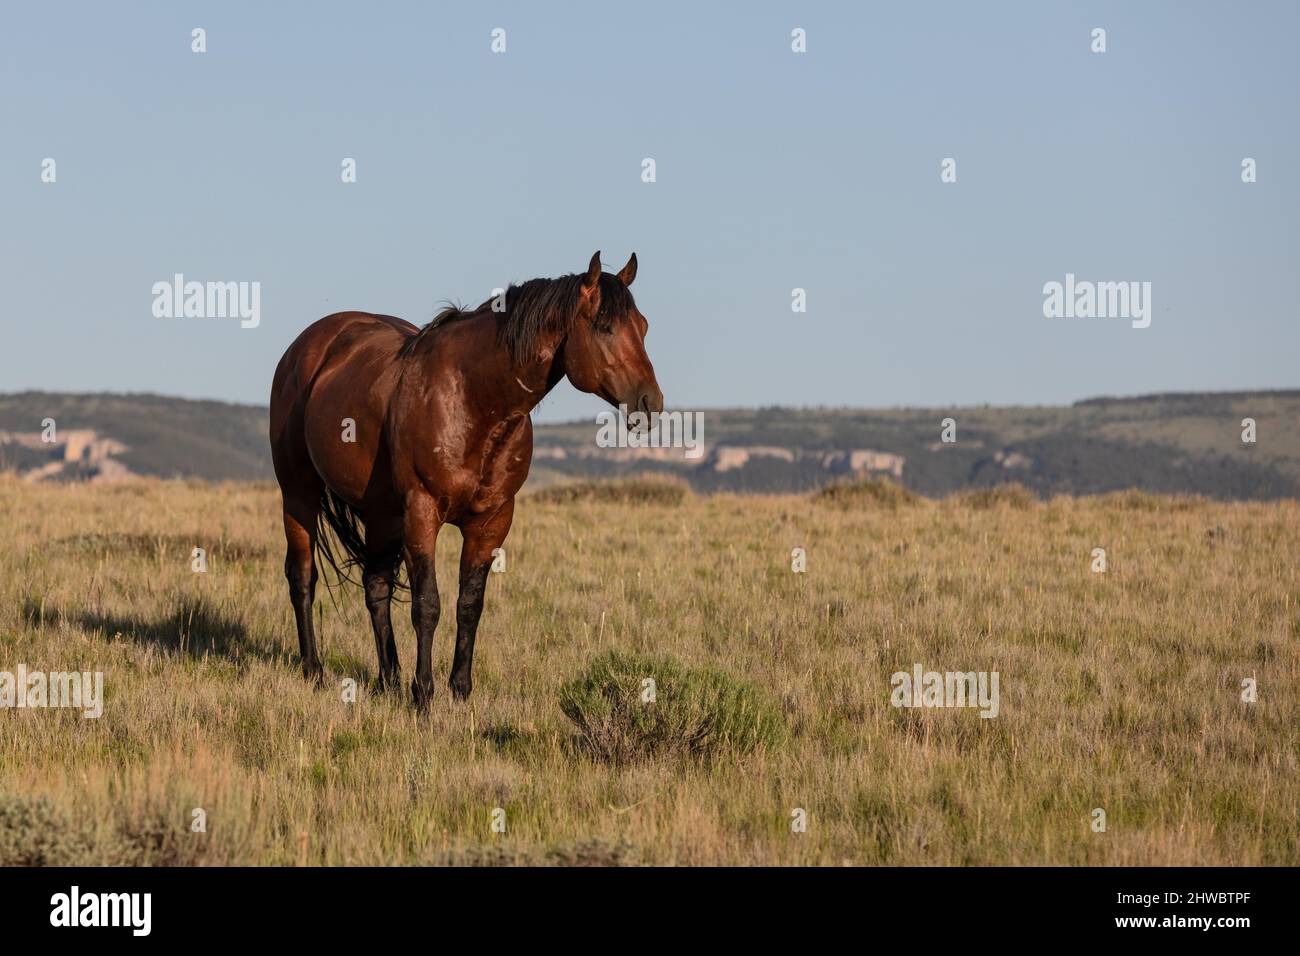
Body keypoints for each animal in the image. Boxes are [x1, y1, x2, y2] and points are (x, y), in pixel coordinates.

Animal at [268, 251, 662, 709]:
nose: (651, 403)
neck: (472, 397)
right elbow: (427, 605)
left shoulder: (491, 522)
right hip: (299, 492)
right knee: (303, 577)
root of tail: (307, 346)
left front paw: (460, 690)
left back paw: (388, 679)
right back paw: (314, 670)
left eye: (644, 326)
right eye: (604, 326)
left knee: (376, 585)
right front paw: (423, 695)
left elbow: (469, 604)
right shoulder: (422, 512)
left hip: (382, 512)